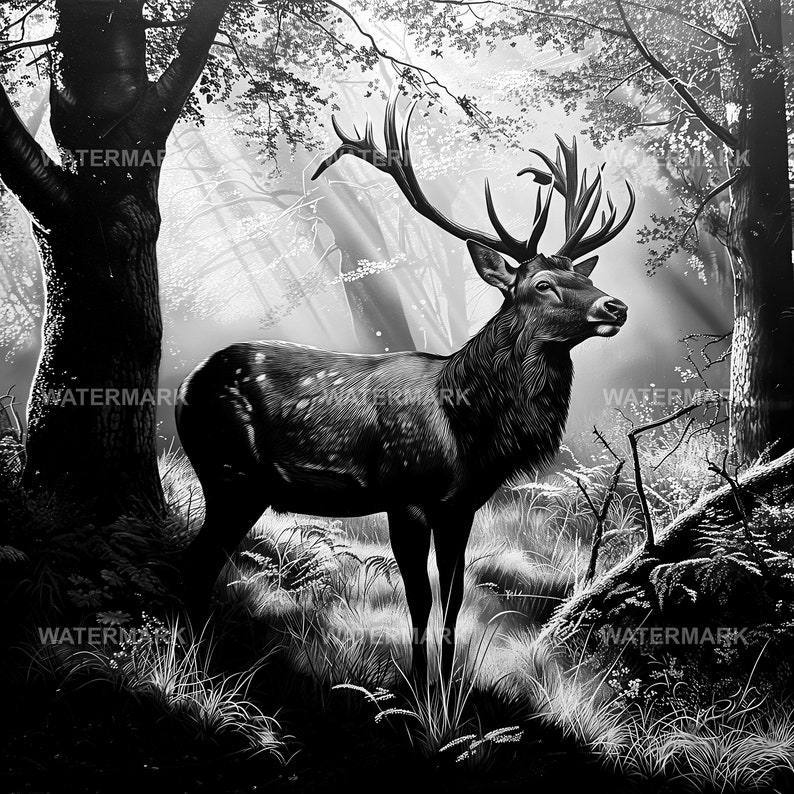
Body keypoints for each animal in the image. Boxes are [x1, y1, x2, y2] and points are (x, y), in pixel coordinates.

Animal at [177, 97, 634, 681]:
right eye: (542, 284)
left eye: (584, 275)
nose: (615, 305)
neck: (467, 434)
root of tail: (186, 385)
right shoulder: (406, 494)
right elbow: (418, 597)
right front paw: (417, 689)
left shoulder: (462, 507)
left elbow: (455, 597)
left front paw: (448, 682)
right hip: (229, 472)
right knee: (196, 562)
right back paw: (195, 665)